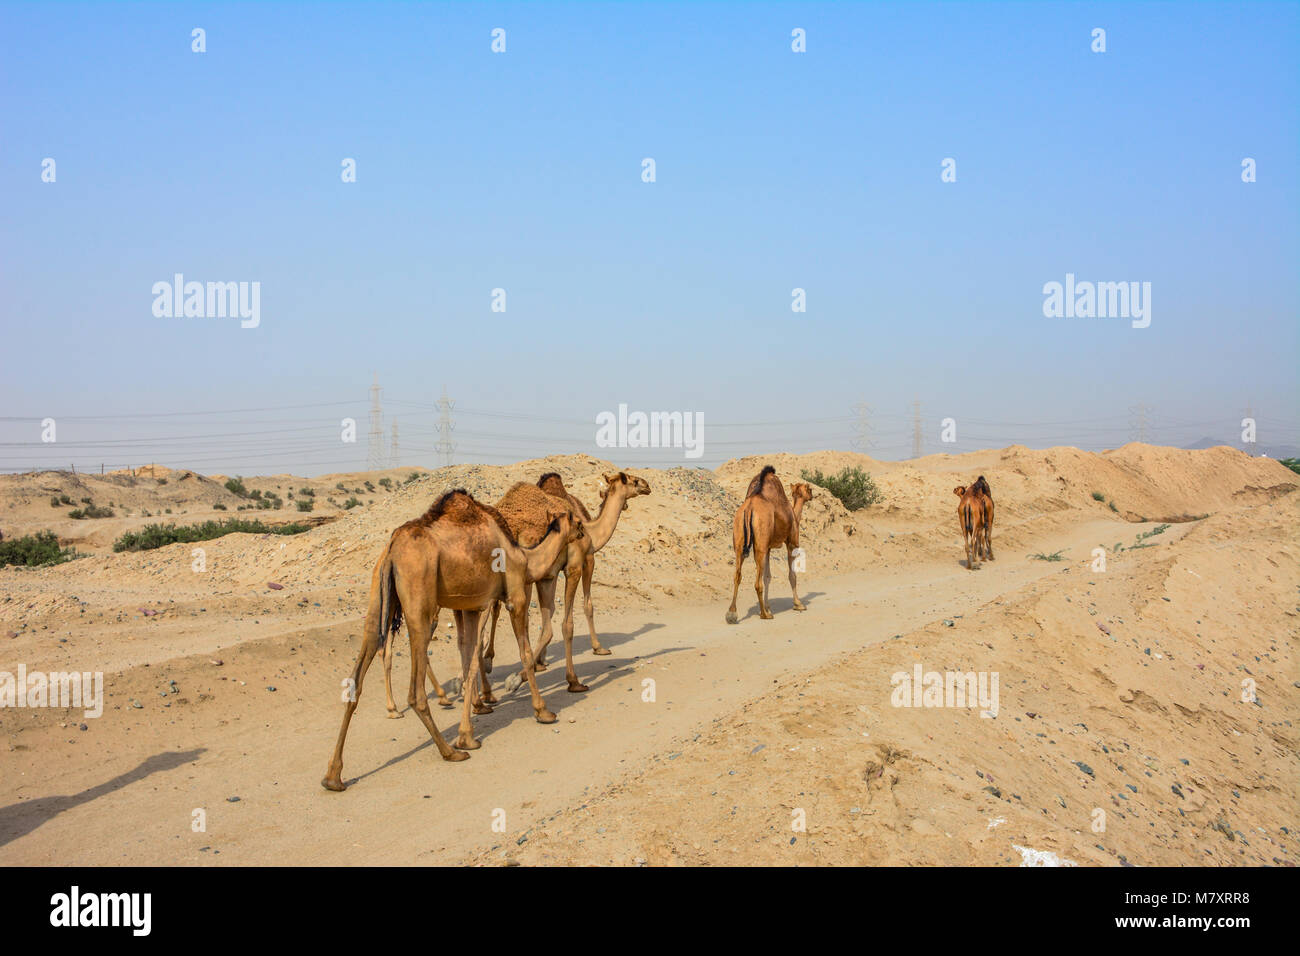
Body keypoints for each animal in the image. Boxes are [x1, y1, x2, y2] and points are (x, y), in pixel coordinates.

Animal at [321, 489, 582, 792]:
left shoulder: (471, 607)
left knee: (357, 676)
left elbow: (469, 663)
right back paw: (449, 751)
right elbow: (524, 655)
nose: (583, 531)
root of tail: (392, 551)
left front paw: (468, 734)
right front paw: (543, 712)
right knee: (416, 692)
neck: (525, 558)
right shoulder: (514, 596)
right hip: (419, 601)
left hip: (377, 599)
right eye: (576, 520)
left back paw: (333, 776)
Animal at [481, 471, 651, 694]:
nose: (648, 485)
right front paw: (580, 670)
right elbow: (573, 619)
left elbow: (549, 617)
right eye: (633, 480)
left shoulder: (549, 574)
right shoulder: (577, 564)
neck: (590, 532)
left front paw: (535, 665)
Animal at [725, 465, 813, 623]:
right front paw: (798, 604)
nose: (812, 495)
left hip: (741, 538)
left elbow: (768, 576)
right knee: (757, 582)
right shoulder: (791, 542)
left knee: (737, 575)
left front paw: (768, 606)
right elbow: (792, 575)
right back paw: (764, 614)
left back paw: (732, 614)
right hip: (760, 541)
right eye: (810, 490)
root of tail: (749, 508)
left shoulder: (768, 547)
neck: (794, 515)